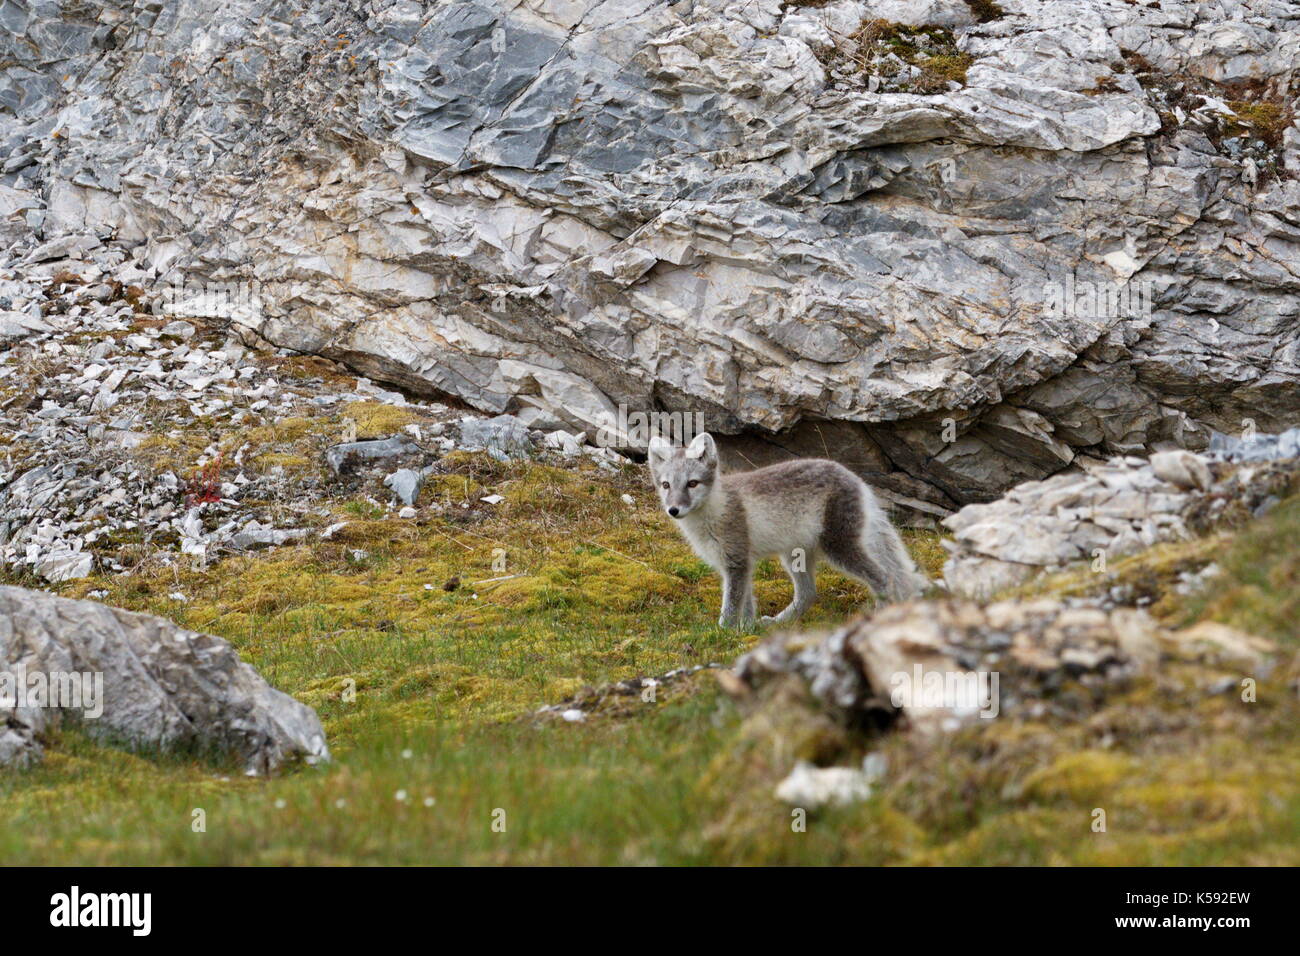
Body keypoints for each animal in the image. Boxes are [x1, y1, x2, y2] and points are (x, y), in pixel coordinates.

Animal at [648, 432, 927, 628]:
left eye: (692, 483)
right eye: (666, 485)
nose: (673, 510)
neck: (714, 510)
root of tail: (855, 478)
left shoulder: (737, 562)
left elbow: (732, 603)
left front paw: (724, 631)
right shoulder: (738, 564)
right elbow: (746, 603)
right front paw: (746, 630)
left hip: (838, 546)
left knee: (883, 578)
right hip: (795, 555)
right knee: (808, 594)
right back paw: (778, 623)